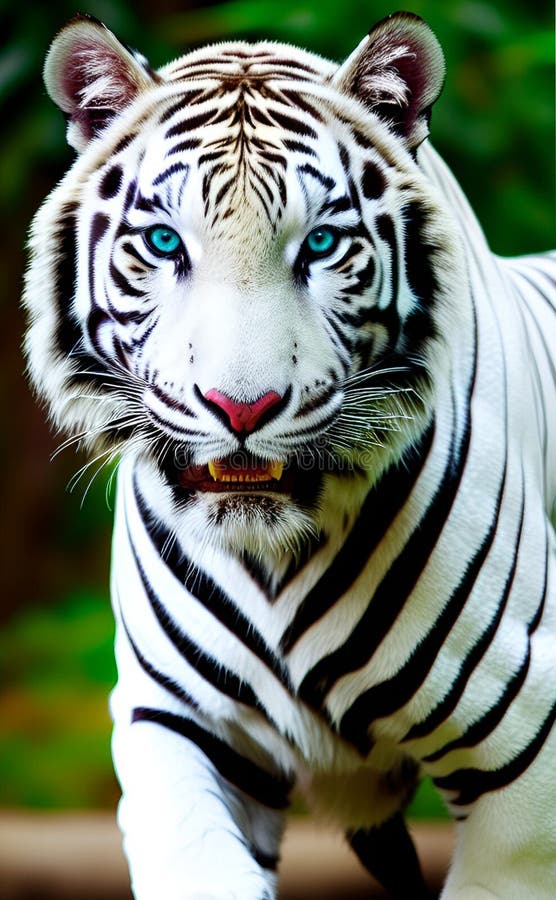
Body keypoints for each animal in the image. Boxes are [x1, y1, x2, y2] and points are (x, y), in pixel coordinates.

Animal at [22, 9, 556, 900]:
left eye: (323, 245)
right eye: (164, 242)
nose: (242, 407)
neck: (270, 555)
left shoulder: (524, 760)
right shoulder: (177, 726)